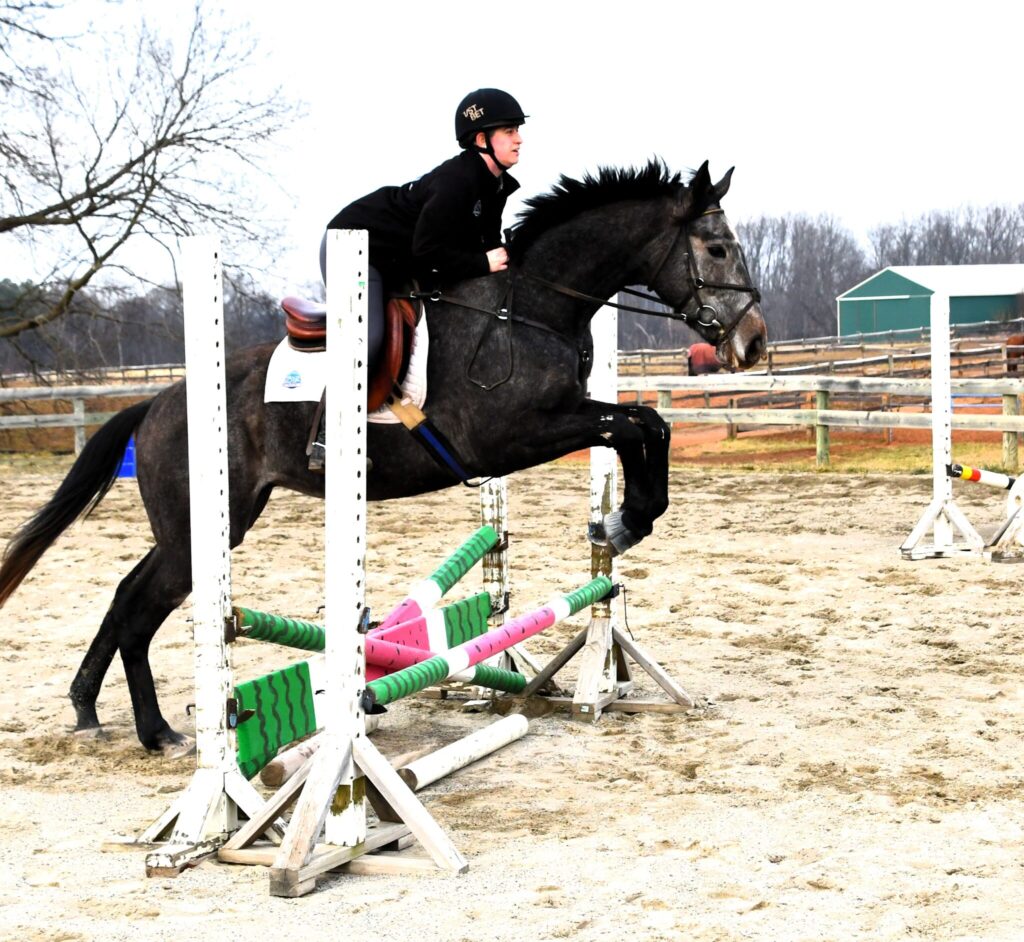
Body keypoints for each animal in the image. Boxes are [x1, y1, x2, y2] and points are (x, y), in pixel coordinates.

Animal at [0, 159, 767, 755]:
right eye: (718, 249)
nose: (753, 342)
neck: (530, 306)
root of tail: (156, 403)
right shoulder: (512, 434)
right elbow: (637, 425)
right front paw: (626, 520)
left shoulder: (553, 422)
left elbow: (644, 424)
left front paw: (619, 524)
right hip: (204, 527)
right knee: (140, 605)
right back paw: (156, 731)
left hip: (208, 523)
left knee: (127, 593)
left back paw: (91, 708)